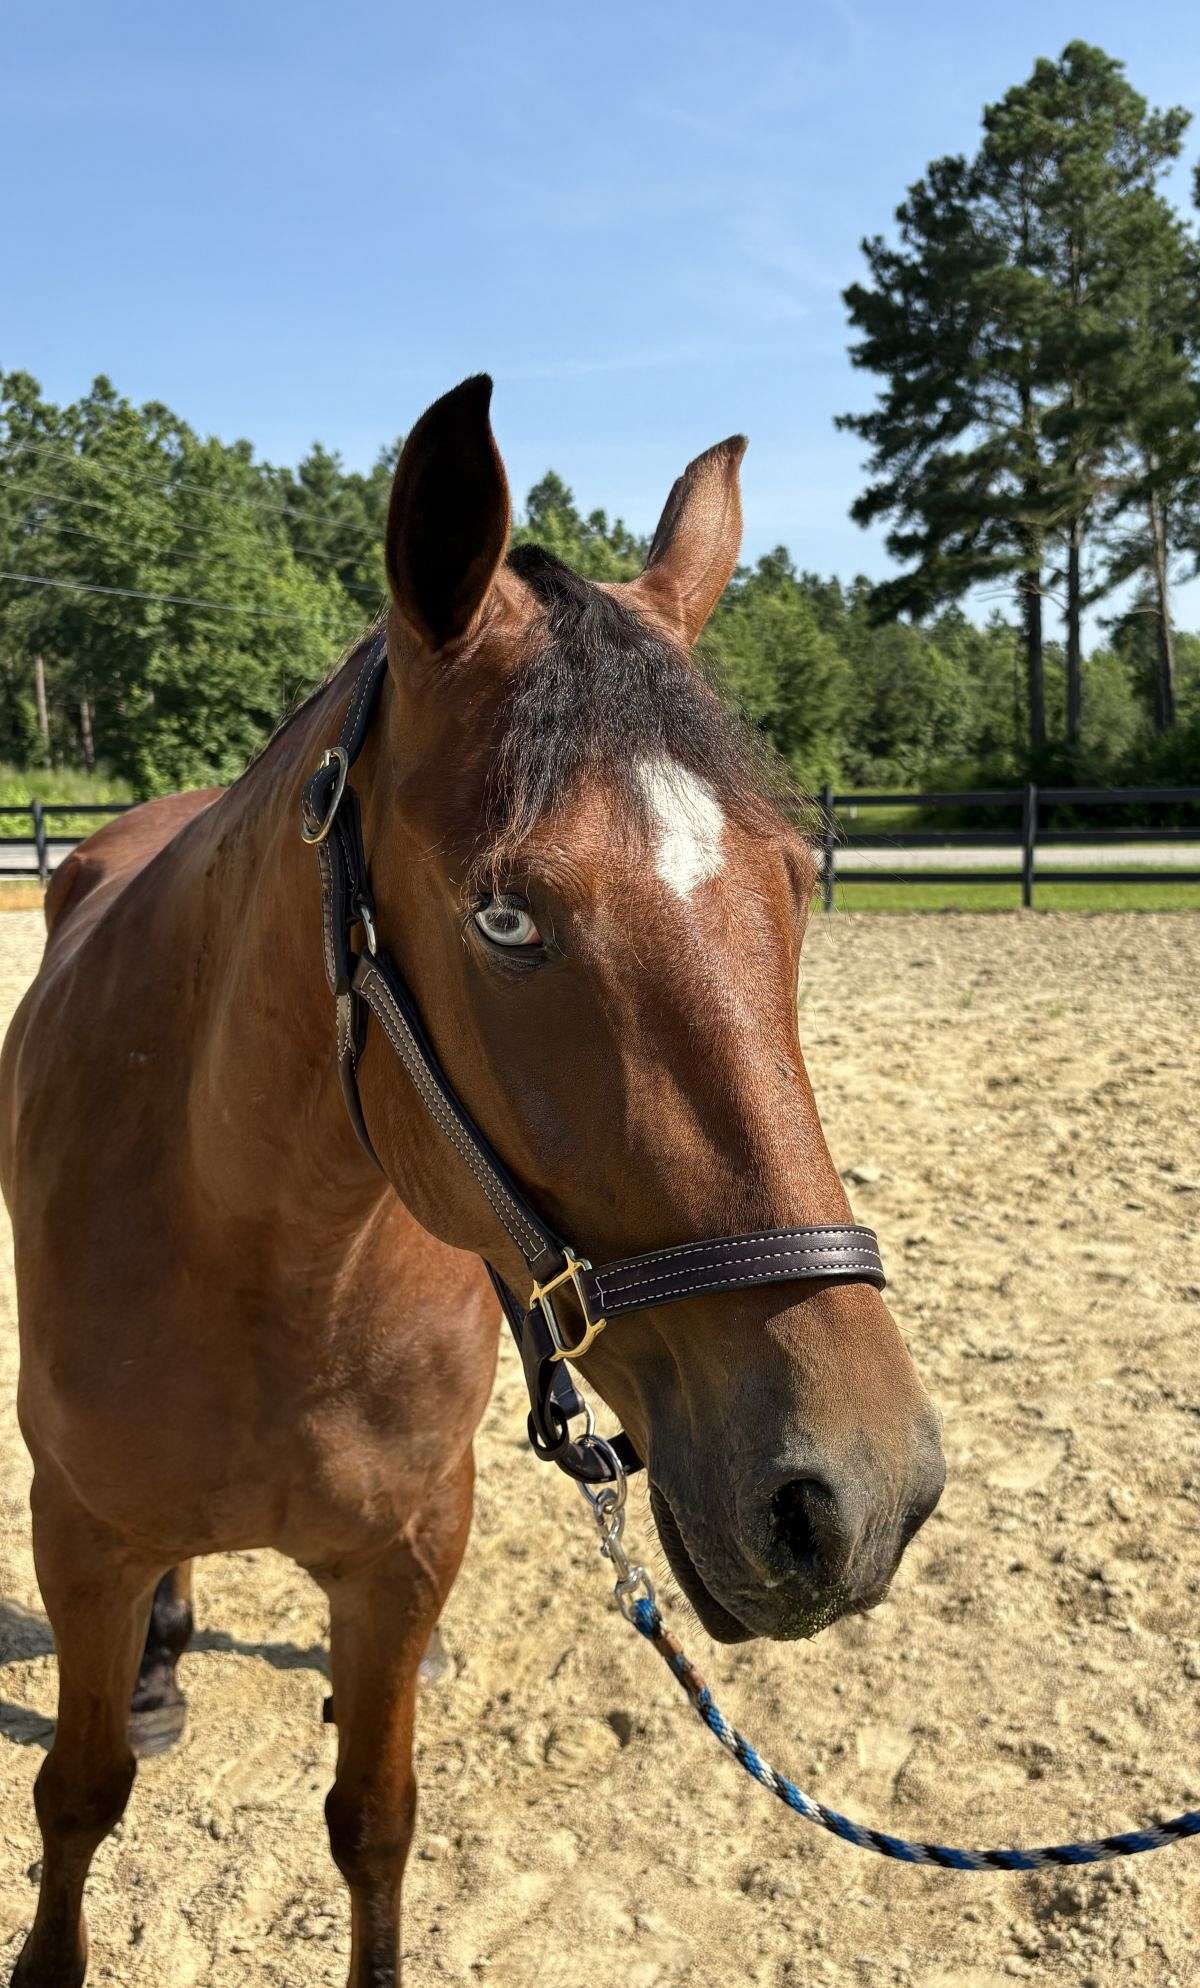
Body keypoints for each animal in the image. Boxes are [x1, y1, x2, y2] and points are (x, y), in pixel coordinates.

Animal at [0, 375, 944, 1987]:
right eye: (505, 919)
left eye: (794, 883)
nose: (861, 1495)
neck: (256, 1252)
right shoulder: (78, 1532)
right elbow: (78, 1799)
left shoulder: (399, 1555)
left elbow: (376, 1820)